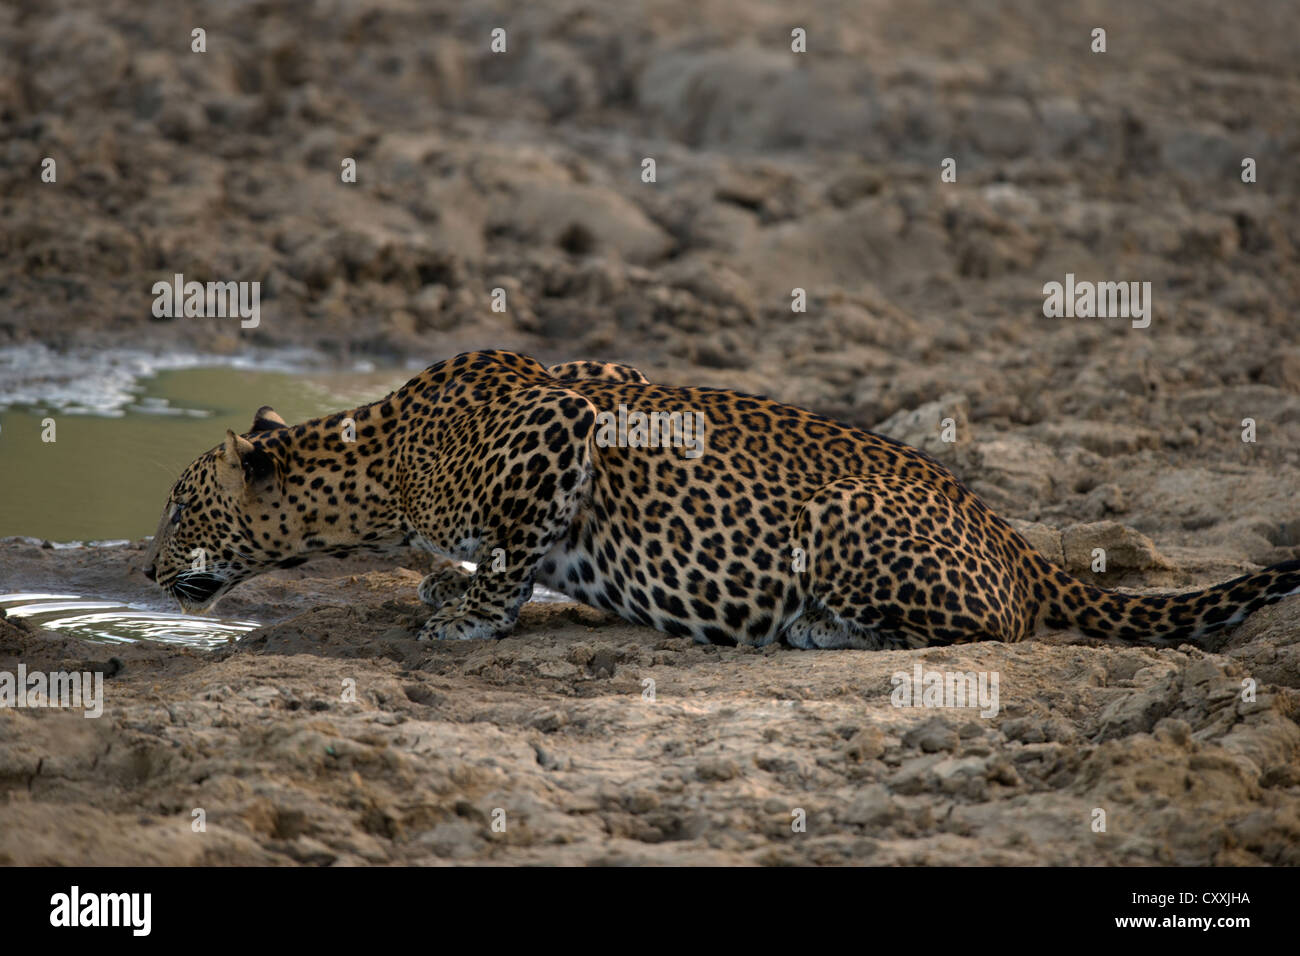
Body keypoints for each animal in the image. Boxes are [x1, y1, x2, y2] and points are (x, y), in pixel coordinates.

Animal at [143, 349, 1300, 650]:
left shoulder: (564, 422)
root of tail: (1014, 536)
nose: (144, 570)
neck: (379, 464)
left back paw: (822, 629)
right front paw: (450, 587)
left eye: (175, 506)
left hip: (849, 523)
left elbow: (513, 553)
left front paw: (466, 612)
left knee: (991, 626)